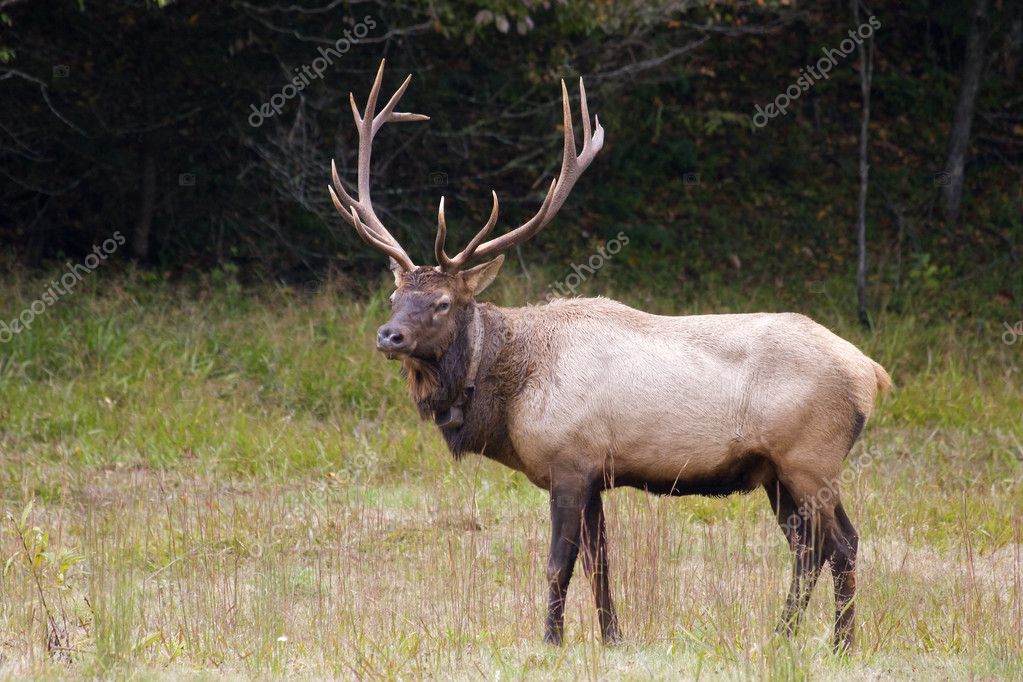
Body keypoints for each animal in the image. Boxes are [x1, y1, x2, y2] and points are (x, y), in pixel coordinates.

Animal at [327, 61, 891, 652]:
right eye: (394, 296)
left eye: (441, 302)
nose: (388, 336)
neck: (510, 392)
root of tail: (872, 373)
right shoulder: (595, 472)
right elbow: (601, 565)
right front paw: (612, 638)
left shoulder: (569, 462)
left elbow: (559, 565)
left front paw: (550, 641)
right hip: (775, 471)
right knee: (808, 549)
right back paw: (783, 636)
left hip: (811, 458)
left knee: (843, 544)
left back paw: (840, 644)